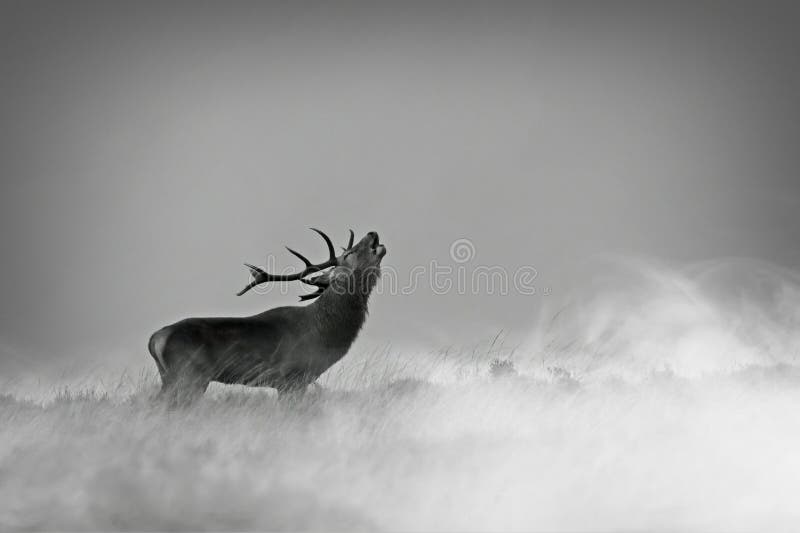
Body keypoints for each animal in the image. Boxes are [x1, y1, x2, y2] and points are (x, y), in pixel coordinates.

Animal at [148, 229, 387, 405]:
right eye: (348, 254)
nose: (372, 233)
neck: (324, 332)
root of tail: (155, 339)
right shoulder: (291, 377)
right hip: (189, 375)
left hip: (170, 377)